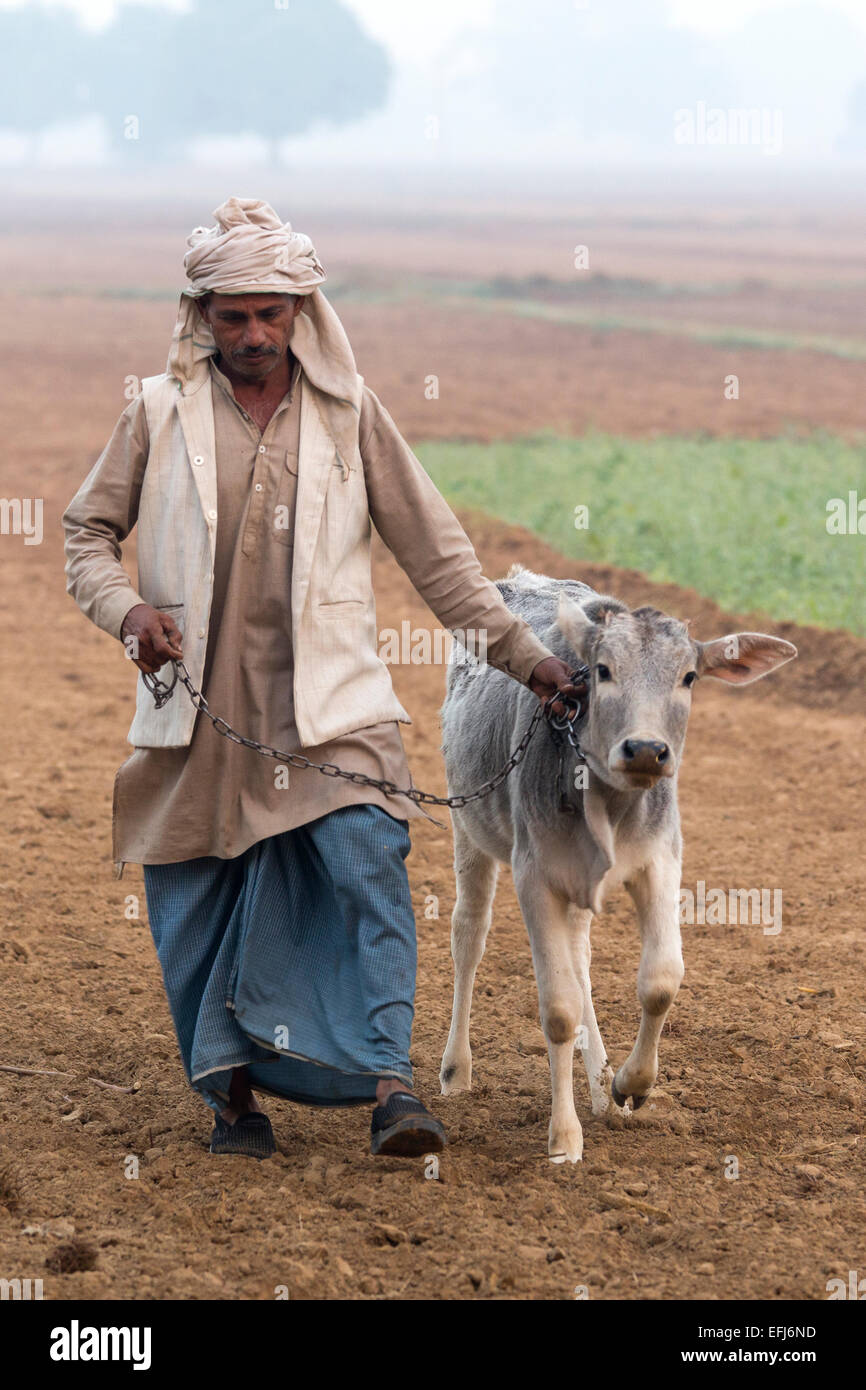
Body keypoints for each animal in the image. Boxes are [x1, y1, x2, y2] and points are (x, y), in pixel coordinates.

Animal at [439, 566, 797, 1162]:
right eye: (603, 671)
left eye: (689, 676)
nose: (647, 749)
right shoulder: (534, 876)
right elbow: (558, 1010)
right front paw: (564, 1137)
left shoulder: (660, 861)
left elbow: (660, 980)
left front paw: (629, 1085)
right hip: (468, 827)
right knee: (469, 935)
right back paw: (456, 1070)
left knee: (581, 962)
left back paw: (601, 1084)